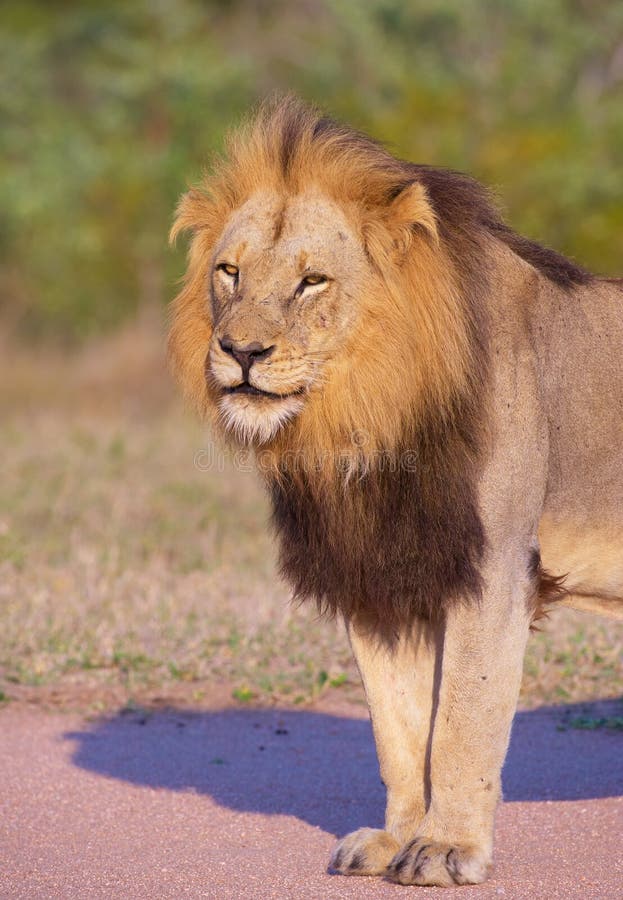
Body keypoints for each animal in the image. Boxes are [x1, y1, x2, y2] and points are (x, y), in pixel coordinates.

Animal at [168, 96, 623, 886]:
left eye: (311, 281)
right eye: (229, 271)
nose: (240, 351)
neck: (365, 419)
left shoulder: (492, 567)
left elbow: (462, 722)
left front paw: (445, 849)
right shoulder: (377, 577)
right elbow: (400, 729)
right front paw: (396, 839)